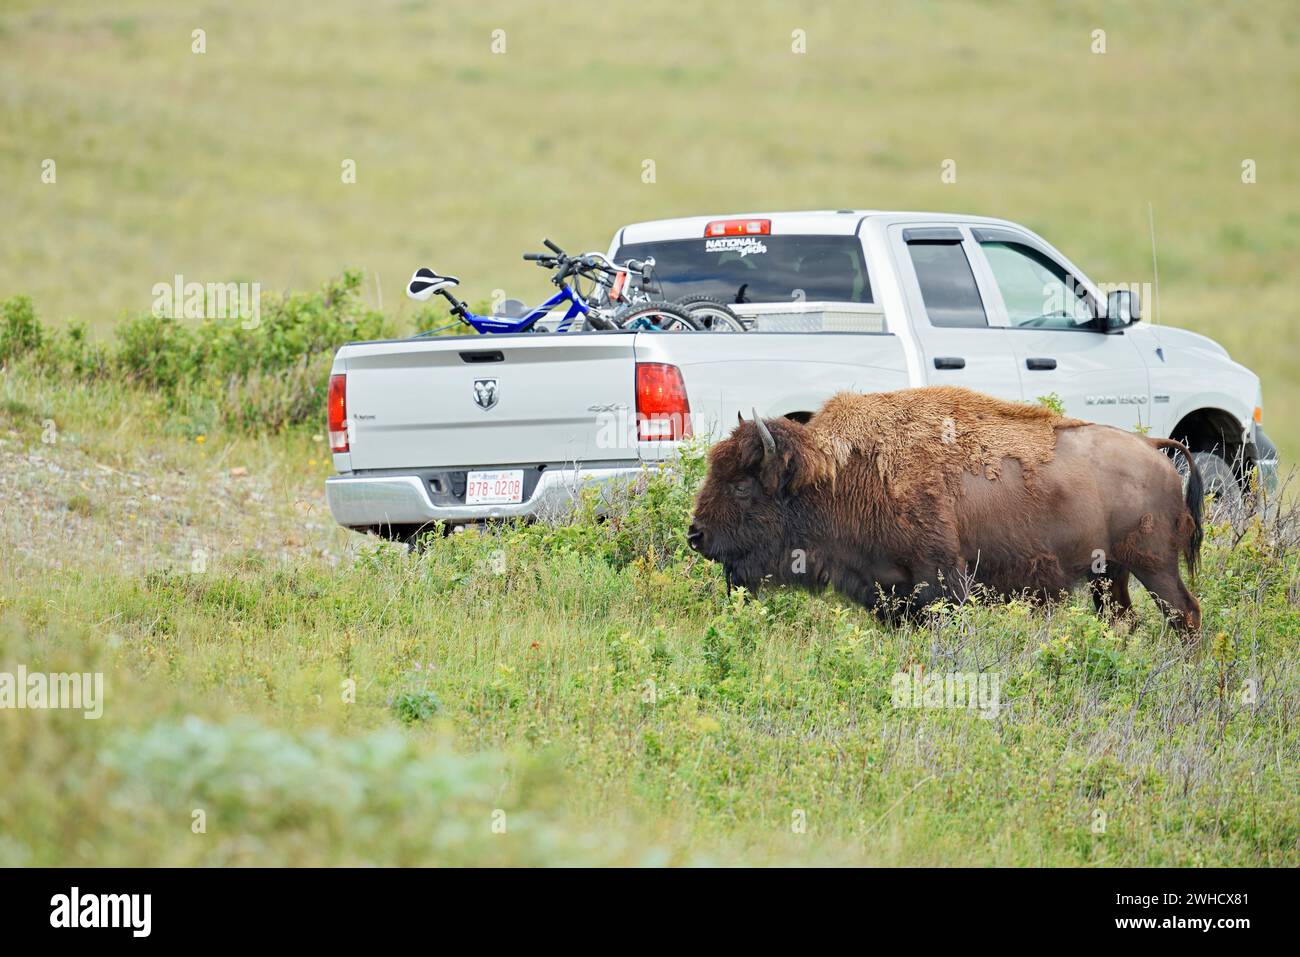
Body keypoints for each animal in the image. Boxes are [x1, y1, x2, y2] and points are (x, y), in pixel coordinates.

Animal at [687, 386, 1204, 637]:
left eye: (741, 486)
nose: (695, 536)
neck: (837, 477)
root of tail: (1153, 448)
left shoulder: (939, 584)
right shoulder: (892, 593)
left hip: (1153, 566)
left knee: (1185, 613)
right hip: (1109, 574)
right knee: (1124, 619)